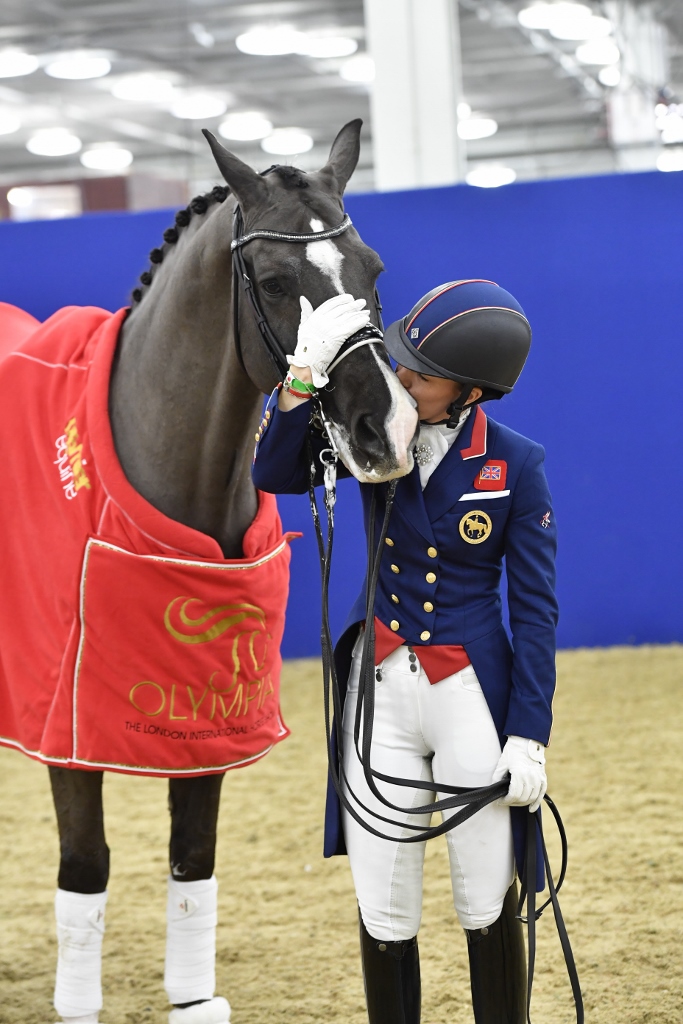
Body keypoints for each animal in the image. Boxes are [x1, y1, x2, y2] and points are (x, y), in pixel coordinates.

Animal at [0, 119, 418, 1024]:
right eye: (274, 280)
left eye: (371, 270)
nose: (388, 427)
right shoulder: (66, 725)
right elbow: (85, 867)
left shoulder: (203, 720)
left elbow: (192, 856)